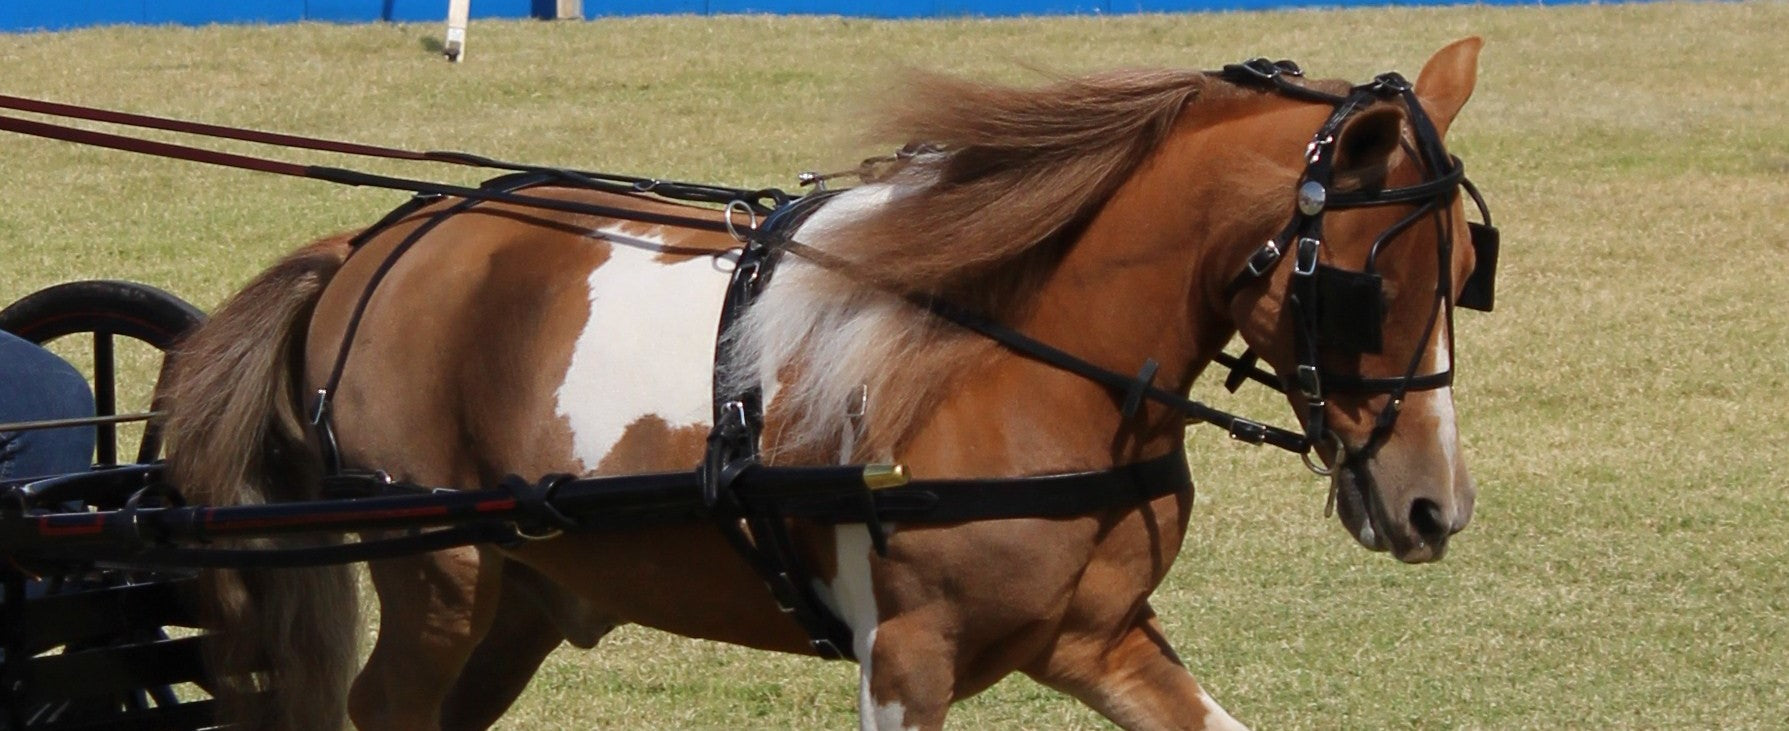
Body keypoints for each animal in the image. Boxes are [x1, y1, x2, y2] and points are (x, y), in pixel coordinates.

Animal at [162, 36, 1487, 731]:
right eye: (1368, 283)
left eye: (1466, 269)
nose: (1436, 504)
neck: (1010, 359)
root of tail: (379, 240)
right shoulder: (903, 656)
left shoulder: (1099, 638)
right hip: (440, 580)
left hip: (520, 600)